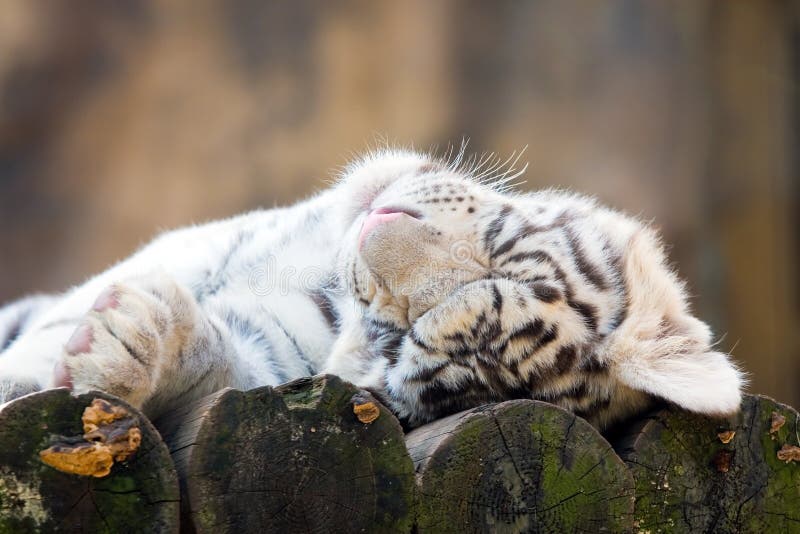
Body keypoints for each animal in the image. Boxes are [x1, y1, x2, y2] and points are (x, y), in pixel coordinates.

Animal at [0, 147, 744, 430]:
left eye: (400, 342)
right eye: (505, 258)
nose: (371, 233)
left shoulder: (267, 366)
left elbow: (224, 369)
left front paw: (119, 349)